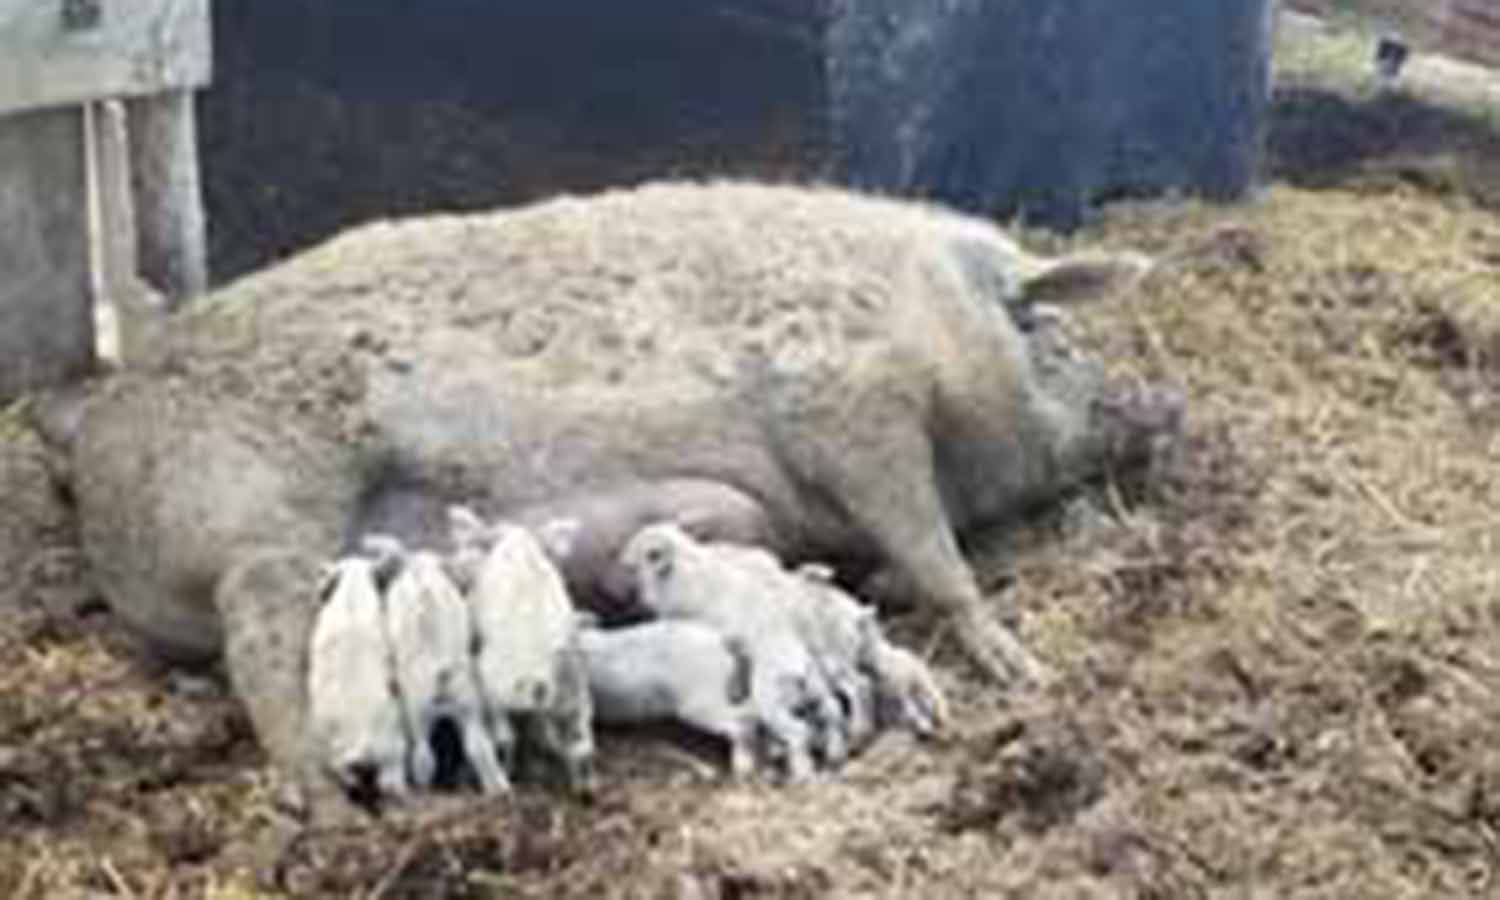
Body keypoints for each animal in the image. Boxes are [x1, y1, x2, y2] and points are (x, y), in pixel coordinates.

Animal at [370, 535, 513, 794]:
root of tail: (440, 670)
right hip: (468, 699)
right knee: (479, 746)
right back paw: (498, 786)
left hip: (417, 707)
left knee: (423, 755)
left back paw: (421, 787)